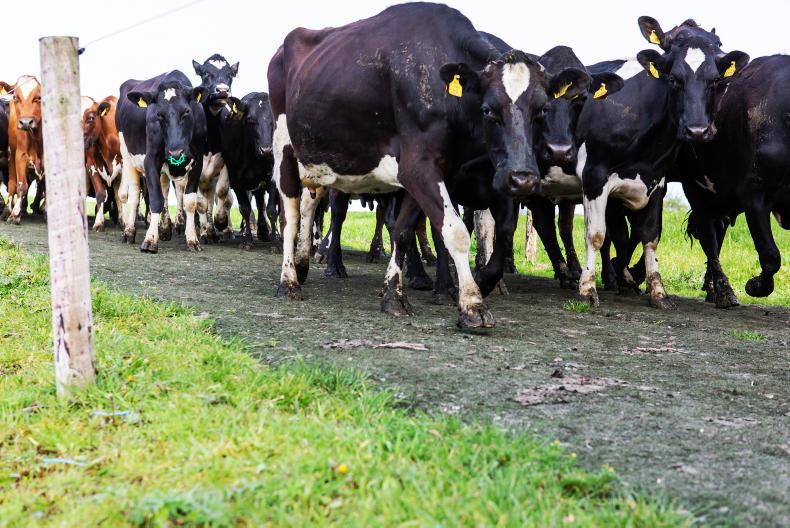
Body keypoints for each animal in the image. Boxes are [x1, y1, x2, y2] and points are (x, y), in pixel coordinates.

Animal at [1, 76, 44, 224]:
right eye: (15, 97)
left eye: (39, 97)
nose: (25, 122)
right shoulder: (20, 156)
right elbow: (21, 186)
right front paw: (14, 215)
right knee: (12, 184)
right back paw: (9, 211)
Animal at [116, 71, 208, 253]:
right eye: (159, 114)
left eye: (187, 111)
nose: (175, 151)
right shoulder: (150, 159)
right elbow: (155, 199)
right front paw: (150, 239)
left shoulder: (198, 160)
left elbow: (190, 201)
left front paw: (192, 239)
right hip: (127, 156)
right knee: (135, 194)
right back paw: (129, 231)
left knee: (164, 189)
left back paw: (165, 228)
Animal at [267, 3, 591, 328]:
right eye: (488, 110)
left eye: (543, 109)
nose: (523, 178)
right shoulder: (419, 167)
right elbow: (454, 231)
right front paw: (472, 304)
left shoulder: (436, 172)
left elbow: (406, 230)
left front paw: (396, 295)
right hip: (285, 150)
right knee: (290, 216)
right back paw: (289, 281)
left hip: (320, 160)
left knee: (310, 204)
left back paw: (303, 263)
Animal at [677, 55, 788, 307]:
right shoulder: (753, 193)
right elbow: (770, 255)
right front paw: (756, 286)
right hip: (697, 192)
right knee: (709, 240)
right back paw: (724, 293)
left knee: (716, 235)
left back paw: (713, 290)